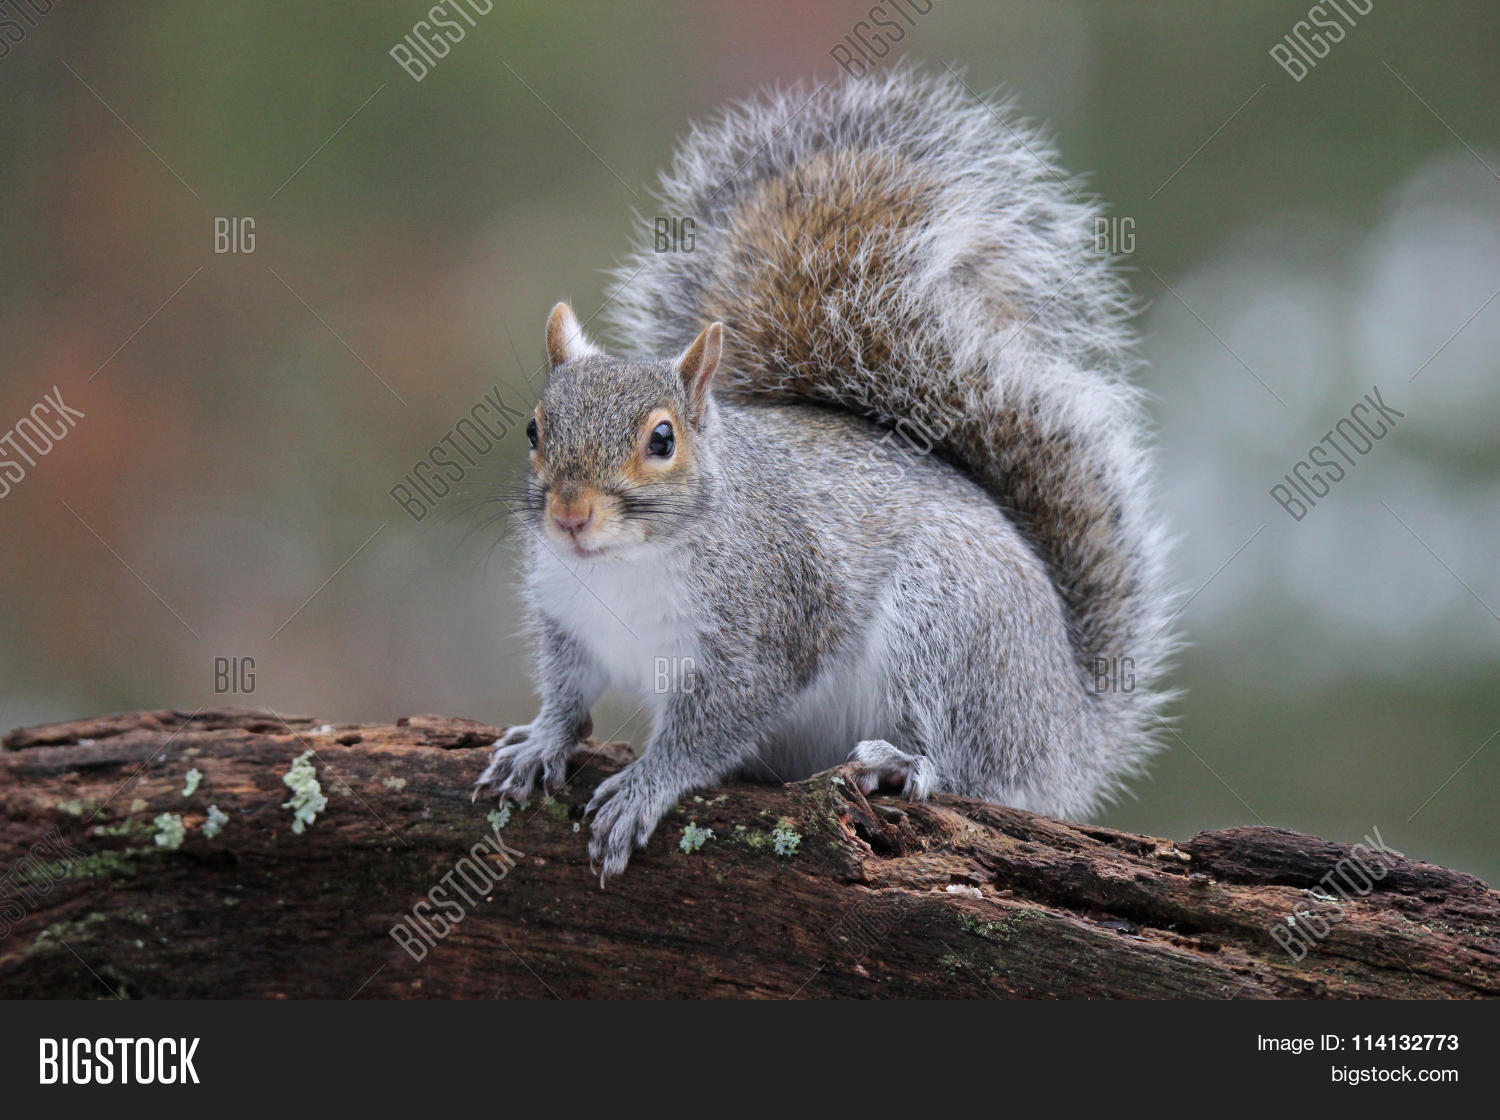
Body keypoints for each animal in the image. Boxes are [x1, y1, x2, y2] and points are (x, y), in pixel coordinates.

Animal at [475, 66, 1177, 880]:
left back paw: (907, 764)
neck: (624, 564)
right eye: (534, 430)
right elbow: (567, 692)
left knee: (975, 768)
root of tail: (1069, 726)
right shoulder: (568, 618)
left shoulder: (767, 633)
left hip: (951, 623)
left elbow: (709, 729)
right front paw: (540, 741)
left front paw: (646, 786)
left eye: (662, 439)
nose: (570, 516)